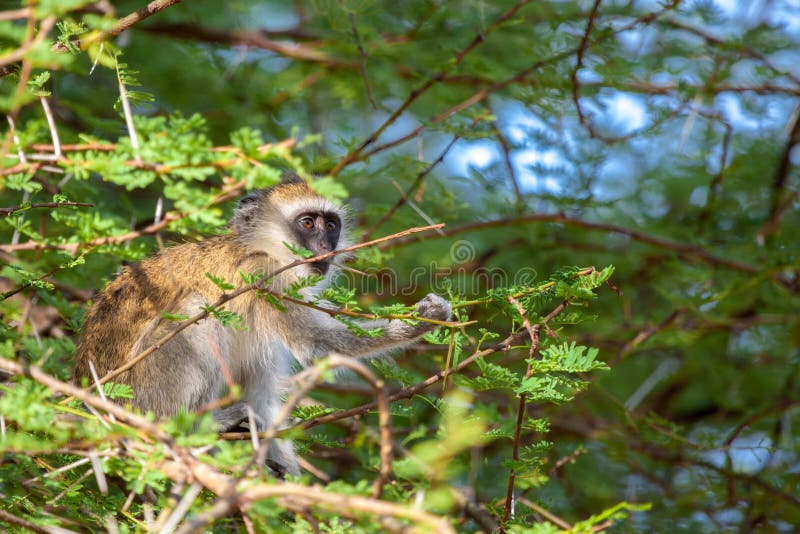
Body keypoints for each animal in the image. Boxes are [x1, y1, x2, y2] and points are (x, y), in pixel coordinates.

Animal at [73, 176, 451, 476]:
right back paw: (192, 428)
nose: (324, 247)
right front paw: (422, 320)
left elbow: (262, 393)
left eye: (331, 225)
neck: (260, 247)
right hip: (144, 393)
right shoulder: (263, 277)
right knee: (196, 313)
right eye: (308, 223)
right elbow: (316, 341)